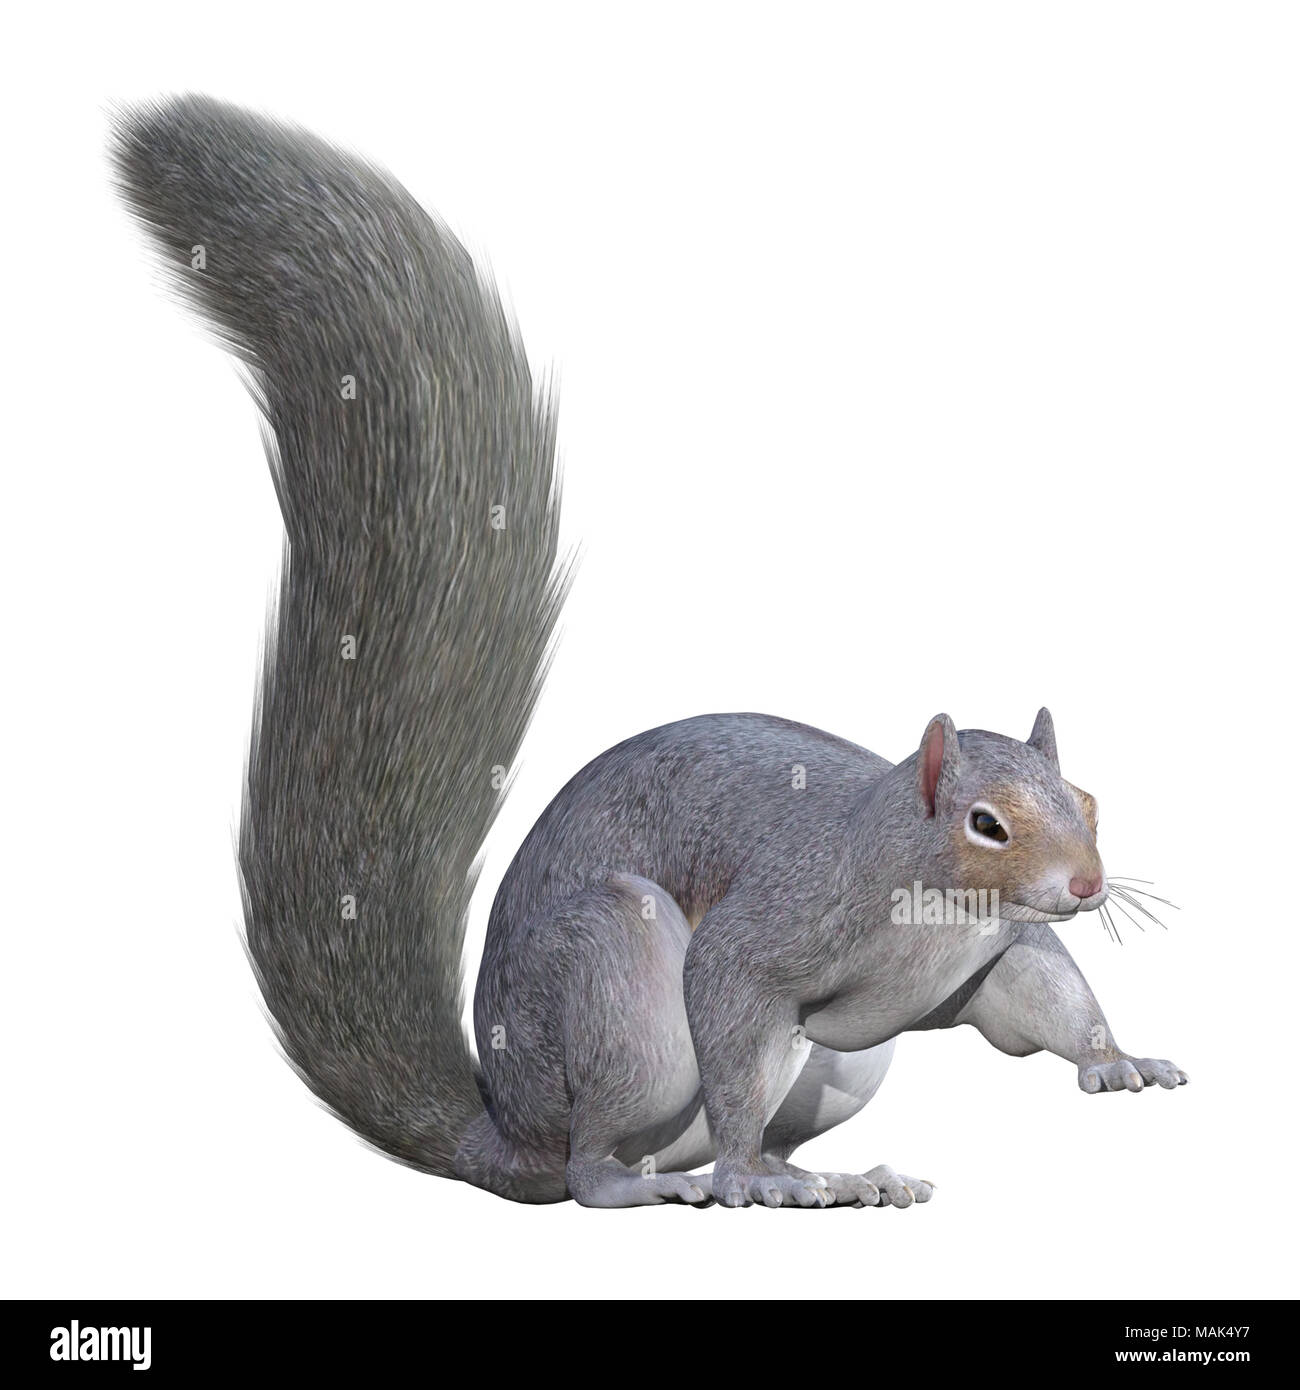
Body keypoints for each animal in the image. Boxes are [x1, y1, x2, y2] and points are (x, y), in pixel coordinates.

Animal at [112, 95, 1188, 1210]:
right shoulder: (776, 925)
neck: (934, 900)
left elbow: (1040, 998)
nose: (1086, 886)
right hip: (614, 984)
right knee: (599, 1162)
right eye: (986, 823)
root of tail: (507, 1132)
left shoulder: (995, 954)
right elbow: (730, 998)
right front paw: (755, 1174)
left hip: (834, 1071)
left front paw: (1118, 1057)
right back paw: (700, 1181)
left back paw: (836, 1173)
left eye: (1091, 802)